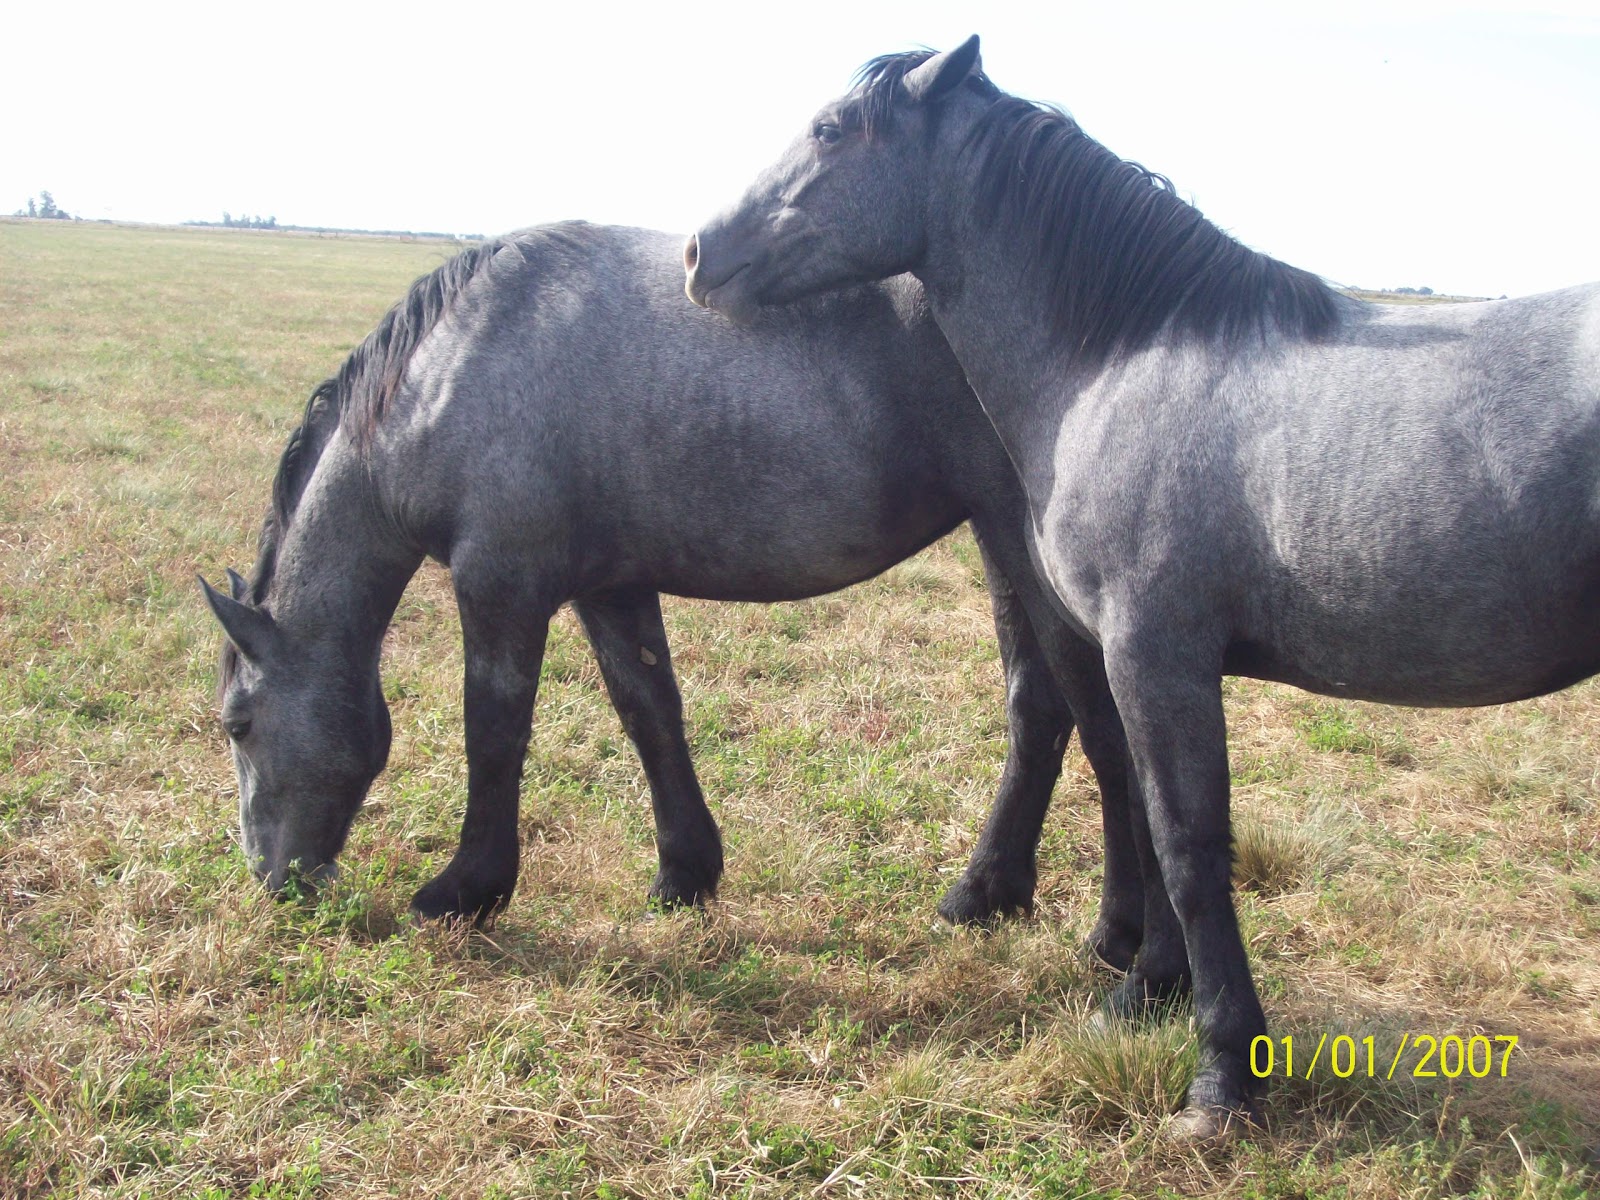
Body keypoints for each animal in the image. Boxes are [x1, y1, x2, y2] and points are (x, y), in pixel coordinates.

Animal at [199, 220, 1146, 961]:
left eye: (237, 724)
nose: (272, 880)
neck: (452, 370)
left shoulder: (502, 583)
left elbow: (494, 732)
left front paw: (468, 888)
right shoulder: (611, 588)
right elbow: (650, 712)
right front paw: (685, 872)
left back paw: (1118, 934)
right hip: (997, 540)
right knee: (1039, 712)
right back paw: (986, 893)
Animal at [684, 38, 1600, 1138]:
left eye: (829, 130)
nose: (698, 254)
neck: (1123, 358)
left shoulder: (1155, 654)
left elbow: (1185, 841)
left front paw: (1222, 1074)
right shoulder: (1121, 657)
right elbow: (1139, 806)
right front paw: (1146, 988)